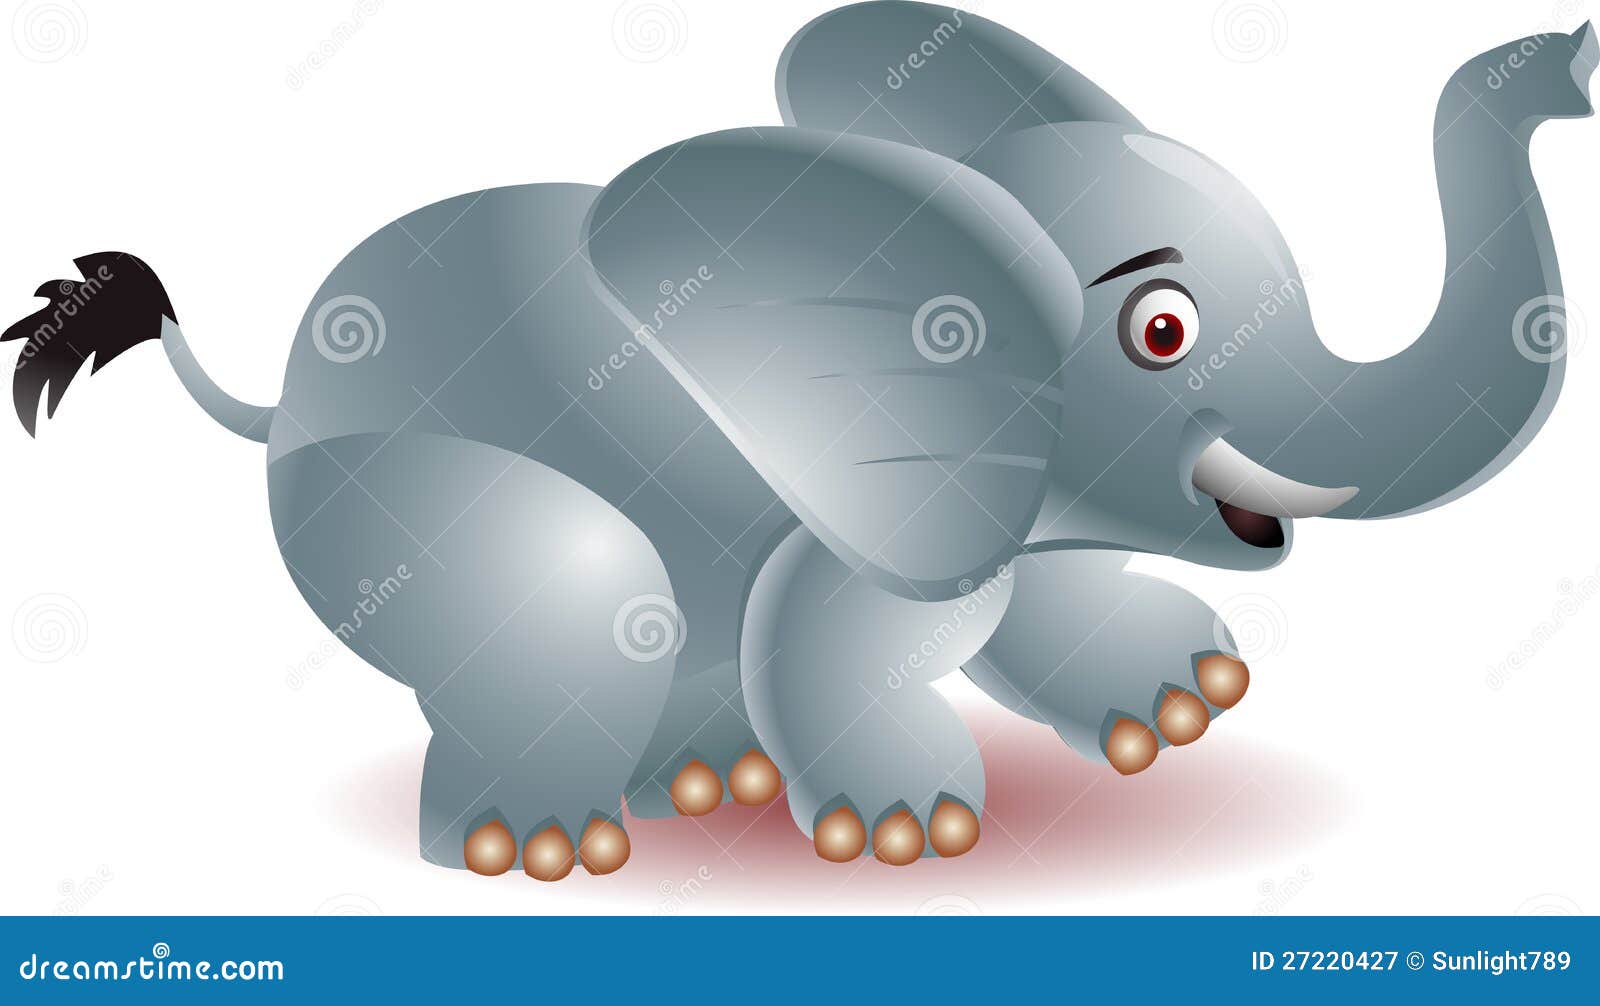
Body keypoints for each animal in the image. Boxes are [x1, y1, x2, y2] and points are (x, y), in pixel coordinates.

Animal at [4, 3, 1594, 879]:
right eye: (1162, 330)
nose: (1564, 66)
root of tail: (281, 389)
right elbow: (817, 632)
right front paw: (911, 832)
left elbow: (1029, 607)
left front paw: (1181, 707)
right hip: (378, 497)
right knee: (597, 589)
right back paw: (544, 852)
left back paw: (709, 789)